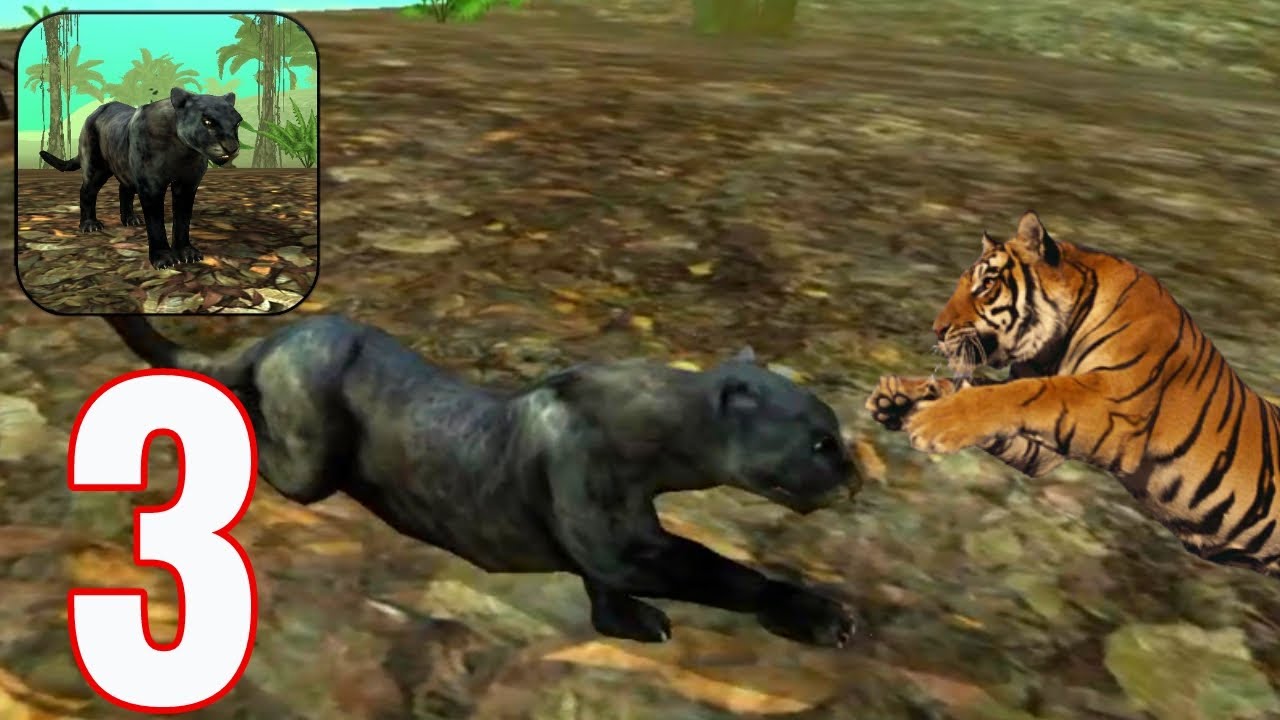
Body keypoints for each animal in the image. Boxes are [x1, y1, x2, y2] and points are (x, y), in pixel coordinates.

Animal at [867, 210, 1280, 577]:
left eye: (985, 285)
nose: (936, 329)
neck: (1053, 347)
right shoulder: (1044, 451)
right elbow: (977, 390)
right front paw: (897, 395)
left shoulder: (1111, 404)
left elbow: (1024, 393)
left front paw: (934, 420)